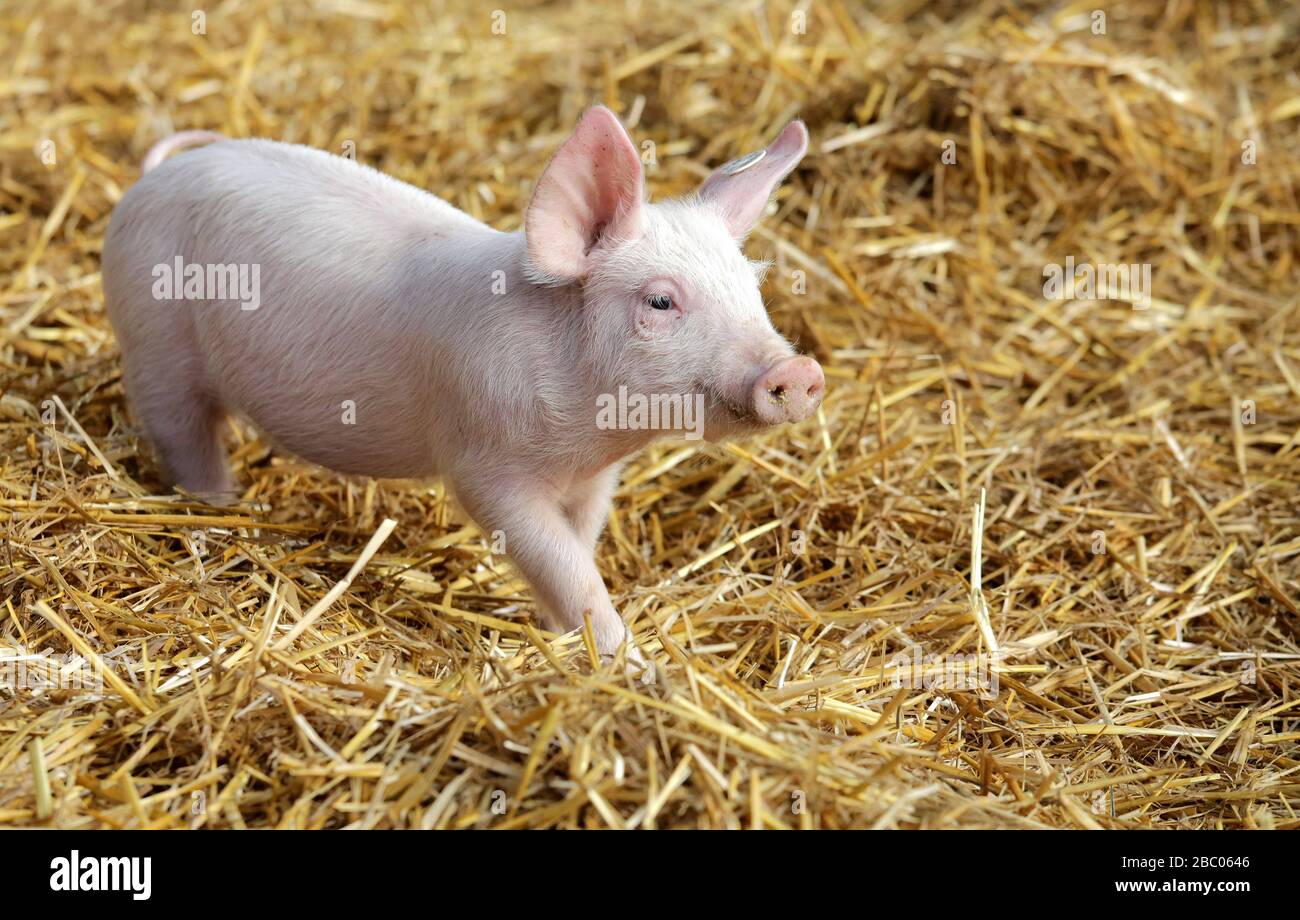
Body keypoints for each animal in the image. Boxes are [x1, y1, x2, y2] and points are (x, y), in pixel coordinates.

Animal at [102, 107, 824, 661]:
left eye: (752, 287)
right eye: (660, 301)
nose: (798, 371)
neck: (589, 437)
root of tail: (153, 175)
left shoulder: (594, 481)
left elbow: (581, 548)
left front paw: (562, 634)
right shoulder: (486, 466)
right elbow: (565, 566)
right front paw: (632, 665)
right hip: (155, 345)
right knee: (184, 437)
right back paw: (221, 509)